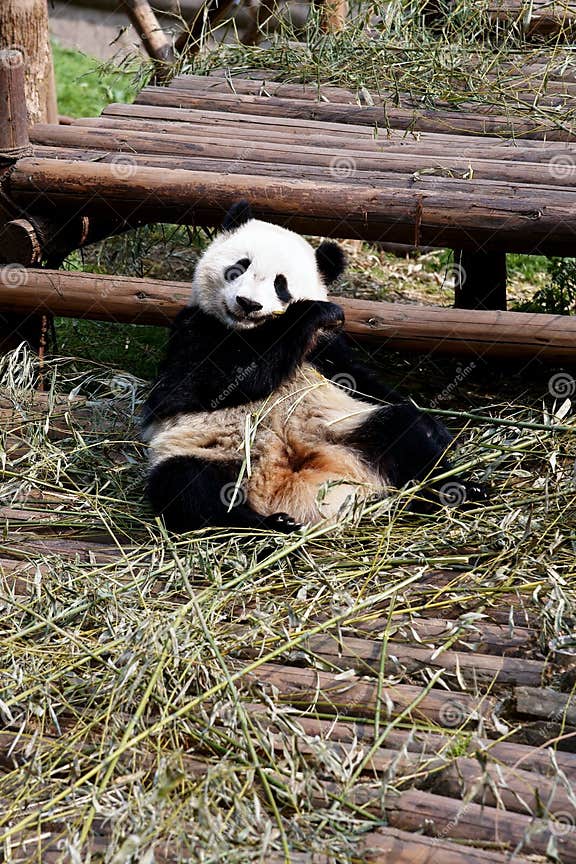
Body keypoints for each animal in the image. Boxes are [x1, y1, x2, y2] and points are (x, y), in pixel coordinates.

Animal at [141, 201, 485, 533]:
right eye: (238, 267)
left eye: (281, 285)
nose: (248, 304)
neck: (251, 331)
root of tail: (289, 489)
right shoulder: (193, 332)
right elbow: (202, 383)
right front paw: (312, 311)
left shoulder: (324, 351)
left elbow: (365, 383)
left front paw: (443, 432)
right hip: (210, 453)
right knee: (186, 486)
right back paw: (270, 524)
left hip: (349, 431)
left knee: (405, 430)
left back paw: (459, 490)